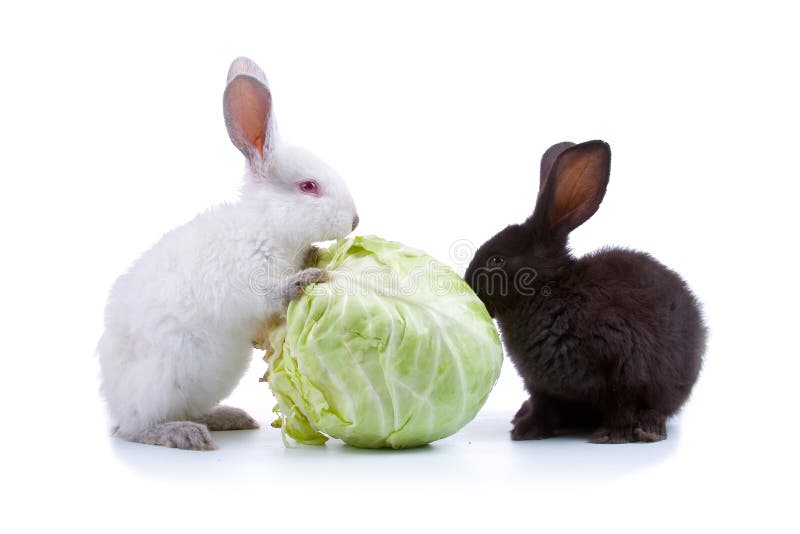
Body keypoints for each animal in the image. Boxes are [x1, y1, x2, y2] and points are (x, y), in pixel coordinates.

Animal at [97, 57, 359, 450]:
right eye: (309, 186)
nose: (356, 220)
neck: (266, 228)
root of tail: (115, 403)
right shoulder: (252, 284)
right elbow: (274, 295)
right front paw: (307, 278)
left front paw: (312, 255)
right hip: (157, 384)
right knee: (135, 429)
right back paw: (184, 434)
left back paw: (229, 417)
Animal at [465, 140, 705, 444]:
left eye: (496, 260)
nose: (467, 285)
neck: (549, 291)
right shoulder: (540, 385)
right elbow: (542, 406)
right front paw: (527, 431)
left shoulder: (624, 362)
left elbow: (622, 405)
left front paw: (611, 435)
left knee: (657, 407)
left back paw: (648, 429)